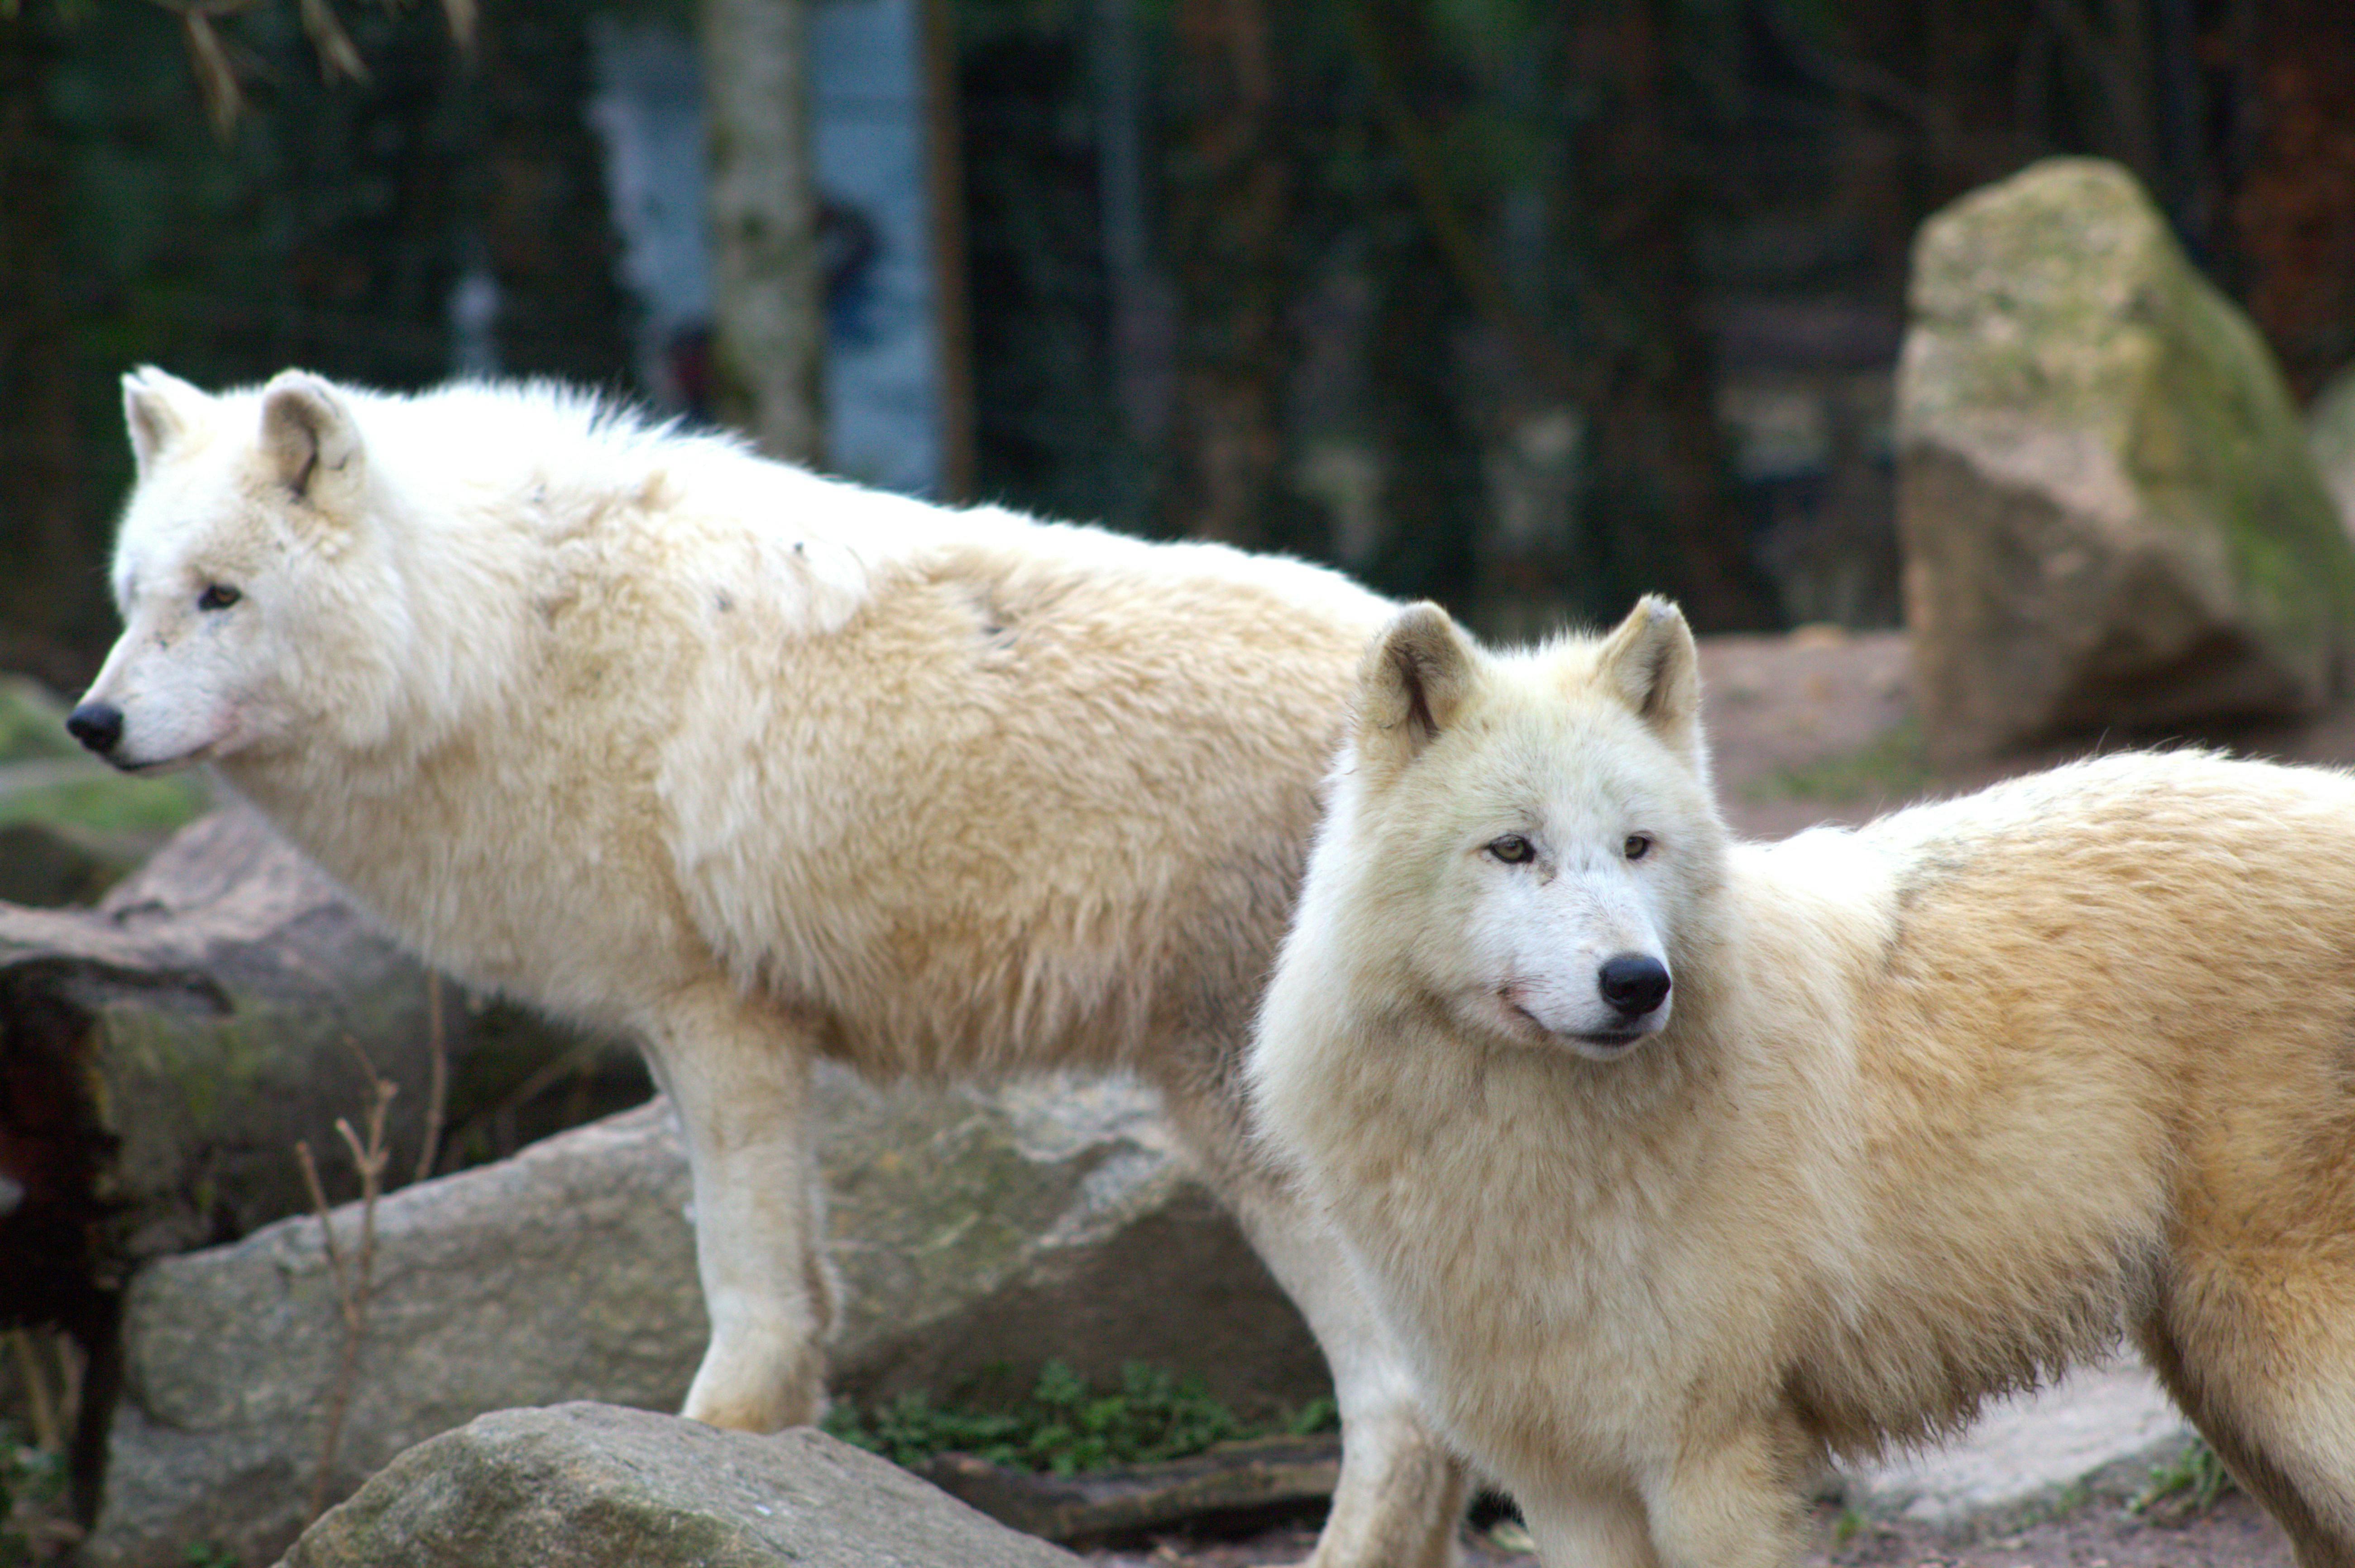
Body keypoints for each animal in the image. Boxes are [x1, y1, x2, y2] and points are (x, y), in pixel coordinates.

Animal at [68, 367, 1467, 1567]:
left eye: (220, 596)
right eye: (132, 596)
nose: (92, 723)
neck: (502, 637)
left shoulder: (715, 1017)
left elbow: (744, 1277)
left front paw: (708, 1448)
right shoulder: (712, 1033)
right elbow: (795, 1281)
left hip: (1246, 1127)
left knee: (1405, 1399)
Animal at [1247, 596, 2355, 1568]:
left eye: (1637, 845)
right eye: (1513, 848)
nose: (1637, 981)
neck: (1526, 1152)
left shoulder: (1710, 1459)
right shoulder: (1567, 1486)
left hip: (2274, 1365)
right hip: (2219, 1380)